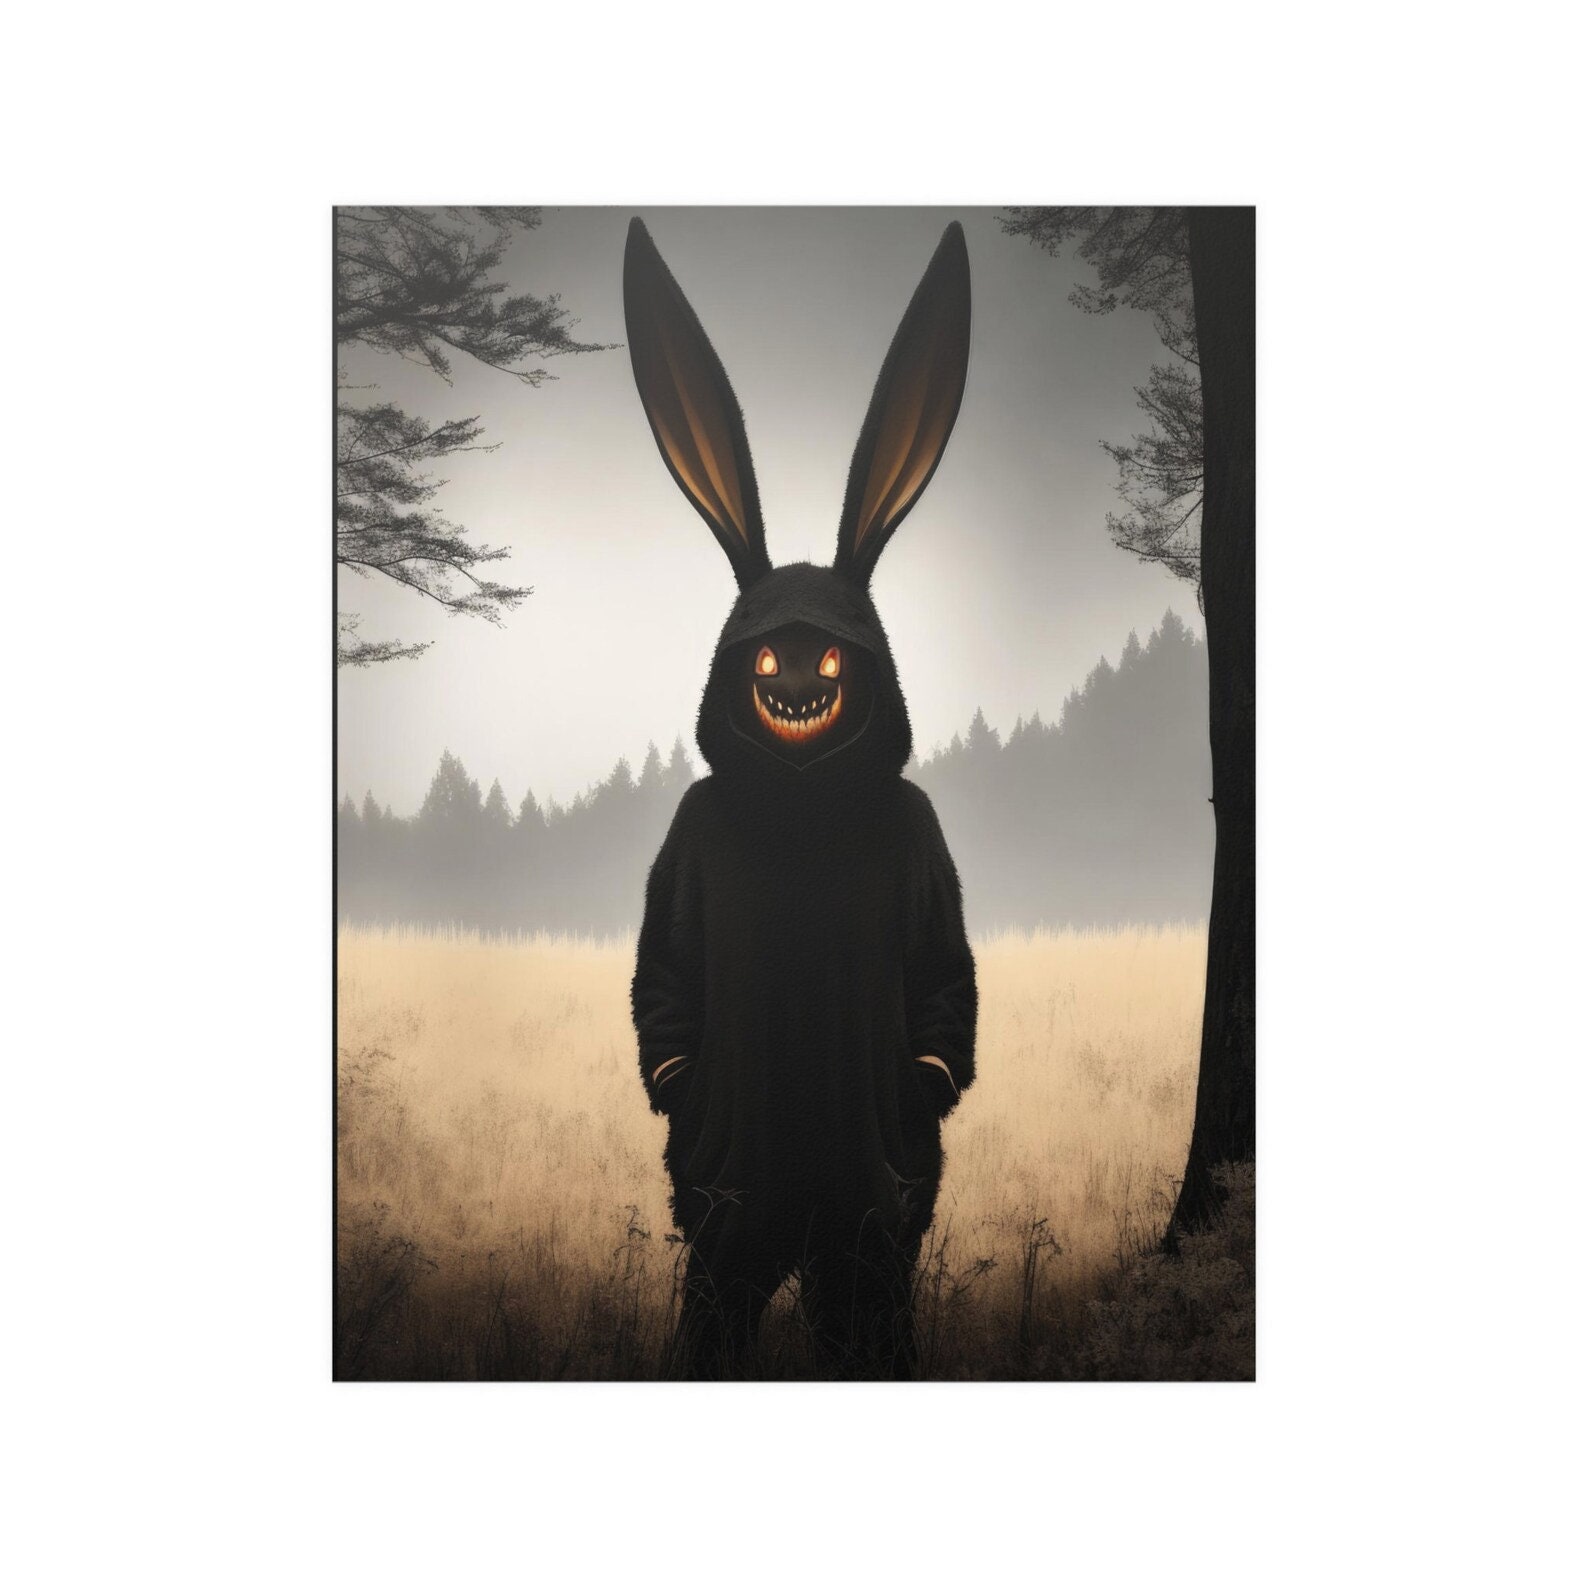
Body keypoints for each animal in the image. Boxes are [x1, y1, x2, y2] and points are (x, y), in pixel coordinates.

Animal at [625, 216, 977, 1378]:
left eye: (825, 653)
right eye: (769, 650)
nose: (792, 682)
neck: (803, 795)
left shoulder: (925, 839)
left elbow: (943, 969)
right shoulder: (684, 835)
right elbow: (662, 967)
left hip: (872, 1220)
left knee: (866, 1292)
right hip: (732, 1208)